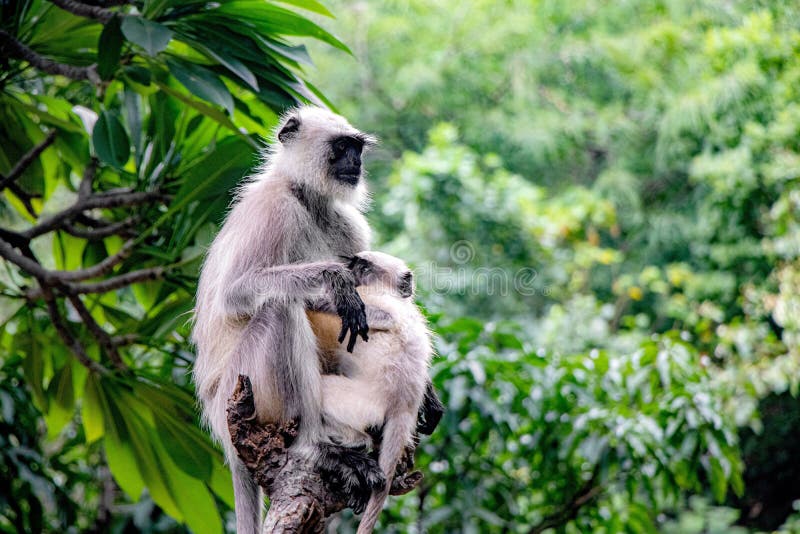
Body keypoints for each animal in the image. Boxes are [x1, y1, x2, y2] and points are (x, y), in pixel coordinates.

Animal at [192, 106, 386, 534]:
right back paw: (317, 450)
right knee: (280, 307)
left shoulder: (348, 226)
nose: (356, 163)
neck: (307, 198)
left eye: (357, 147)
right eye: (342, 147)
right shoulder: (274, 209)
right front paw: (335, 279)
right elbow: (234, 292)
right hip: (243, 387)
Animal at [305, 251, 433, 534]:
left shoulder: (370, 297)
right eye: (354, 263)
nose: (349, 268)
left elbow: (382, 317)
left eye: (363, 267)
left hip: (358, 403)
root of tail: (403, 406)